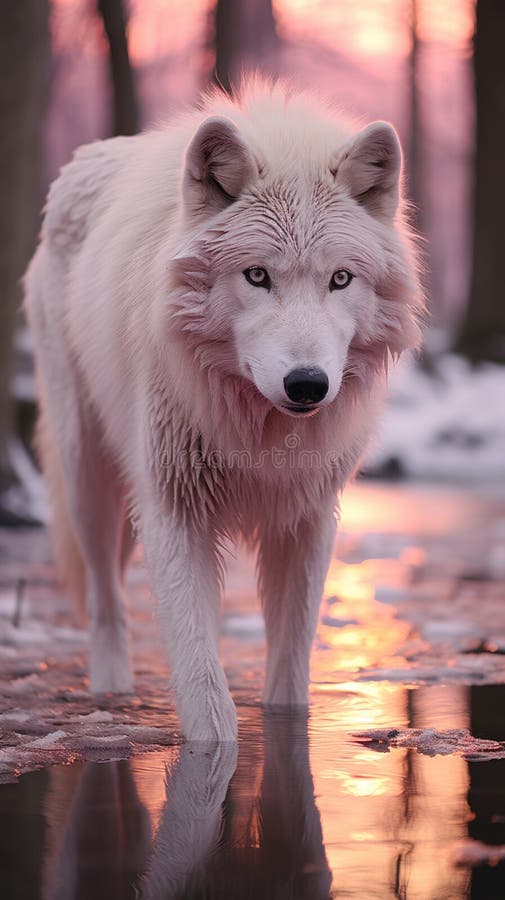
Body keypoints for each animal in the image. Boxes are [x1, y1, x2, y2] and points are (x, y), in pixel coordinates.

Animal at [24, 80, 422, 741]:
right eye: (257, 275)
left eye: (341, 279)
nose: (308, 384)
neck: (260, 435)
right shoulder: (173, 508)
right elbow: (204, 686)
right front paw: (213, 753)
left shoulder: (308, 518)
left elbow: (289, 669)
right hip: (87, 477)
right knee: (106, 598)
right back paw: (112, 692)